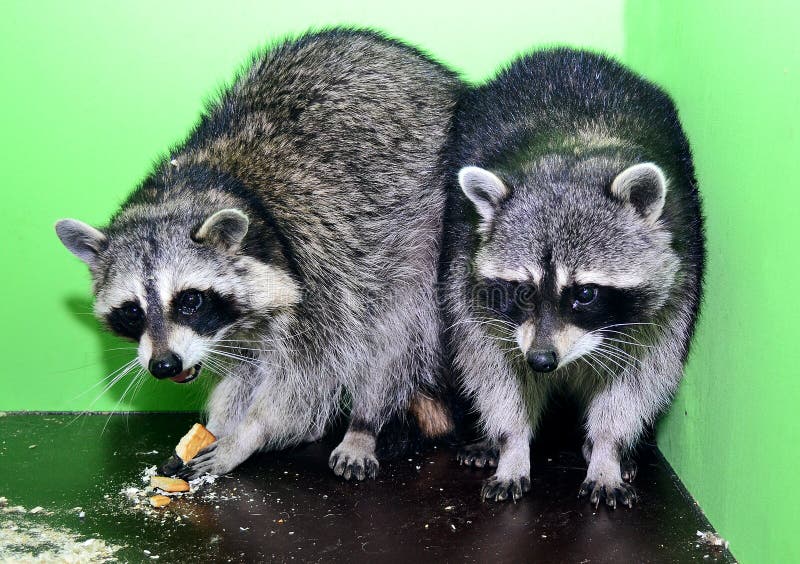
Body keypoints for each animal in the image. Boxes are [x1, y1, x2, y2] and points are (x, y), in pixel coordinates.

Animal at [55, 29, 460, 480]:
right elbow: (244, 370)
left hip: (421, 239)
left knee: (395, 331)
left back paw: (363, 423)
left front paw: (248, 435)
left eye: (189, 301)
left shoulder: (322, 275)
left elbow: (309, 377)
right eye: (131, 311)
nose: (164, 365)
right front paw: (217, 425)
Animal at [441, 48, 704, 507]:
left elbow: (641, 376)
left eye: (585, 293)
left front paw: (608, 451)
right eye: (523, 291)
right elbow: (495, 370)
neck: (570, 158)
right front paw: (511, 445)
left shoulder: (675, 287)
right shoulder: (468, 278)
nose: (542, 361)